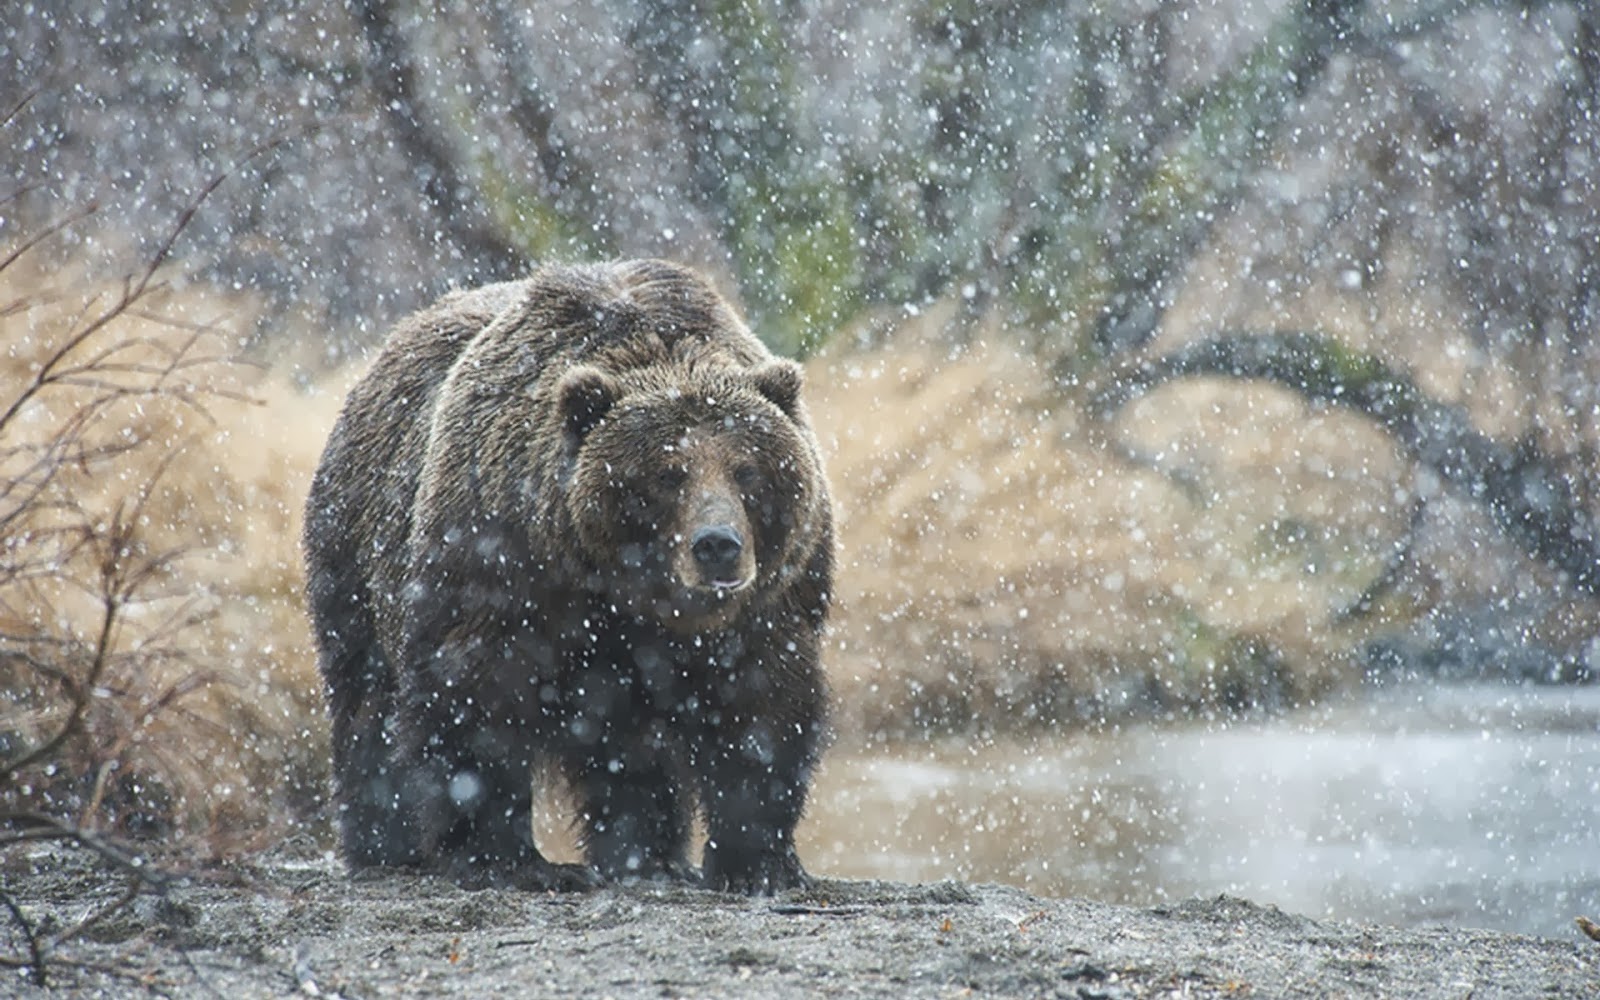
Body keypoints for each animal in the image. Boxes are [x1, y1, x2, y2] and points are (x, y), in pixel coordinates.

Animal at [302, 260, 832, 894]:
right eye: (667, 473)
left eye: (747, 469)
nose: (717, 546)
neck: (625, 589)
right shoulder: (500, 559)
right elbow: (477, 698)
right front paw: (507, 858)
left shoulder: (769, 602)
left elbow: (761, 708)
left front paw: (757, 863)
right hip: (356, 549)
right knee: (368, 700)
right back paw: (385, 844)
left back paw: (650, 856)